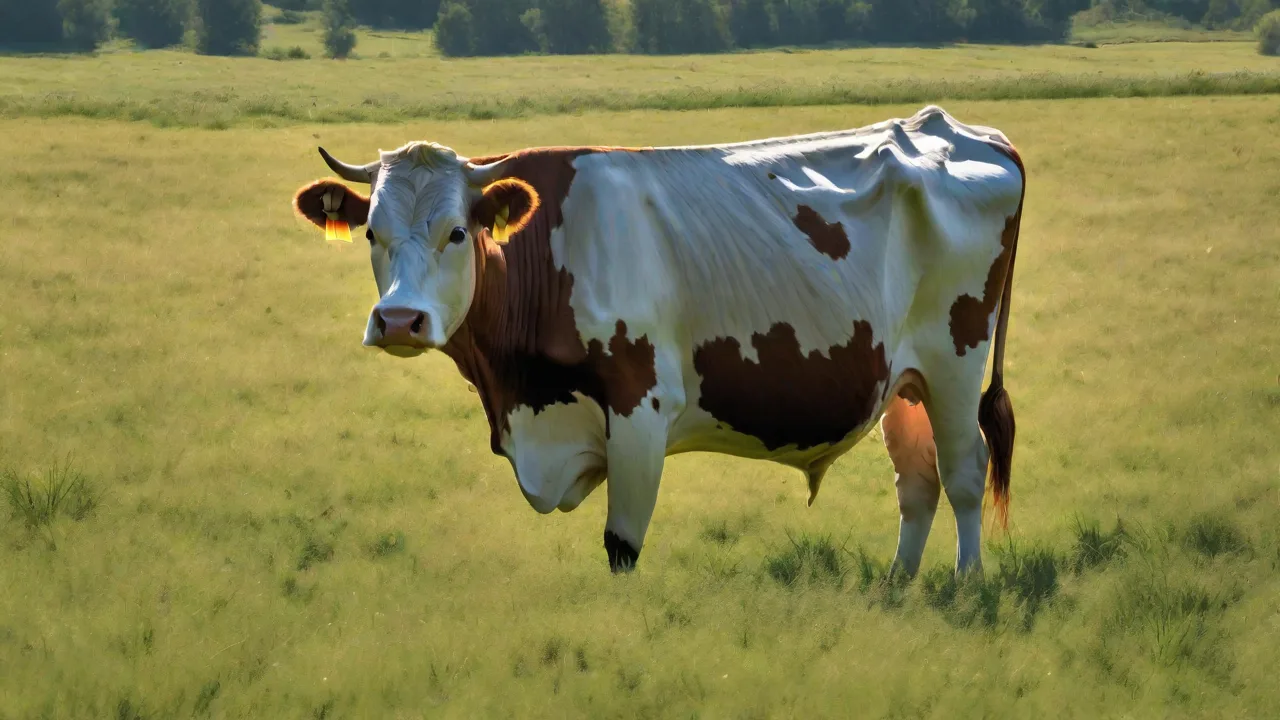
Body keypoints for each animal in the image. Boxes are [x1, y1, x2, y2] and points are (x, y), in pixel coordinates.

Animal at [290, 105, 1024, 577]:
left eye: (457, 232)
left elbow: (622, 547)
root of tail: (958, 128)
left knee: (963, 471)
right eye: (371, 232)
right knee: (917, 480)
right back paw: (900, 583)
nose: (399, 321)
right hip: (905, 378)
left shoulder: (639, 412)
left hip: (956, 363)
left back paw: (966, 582)